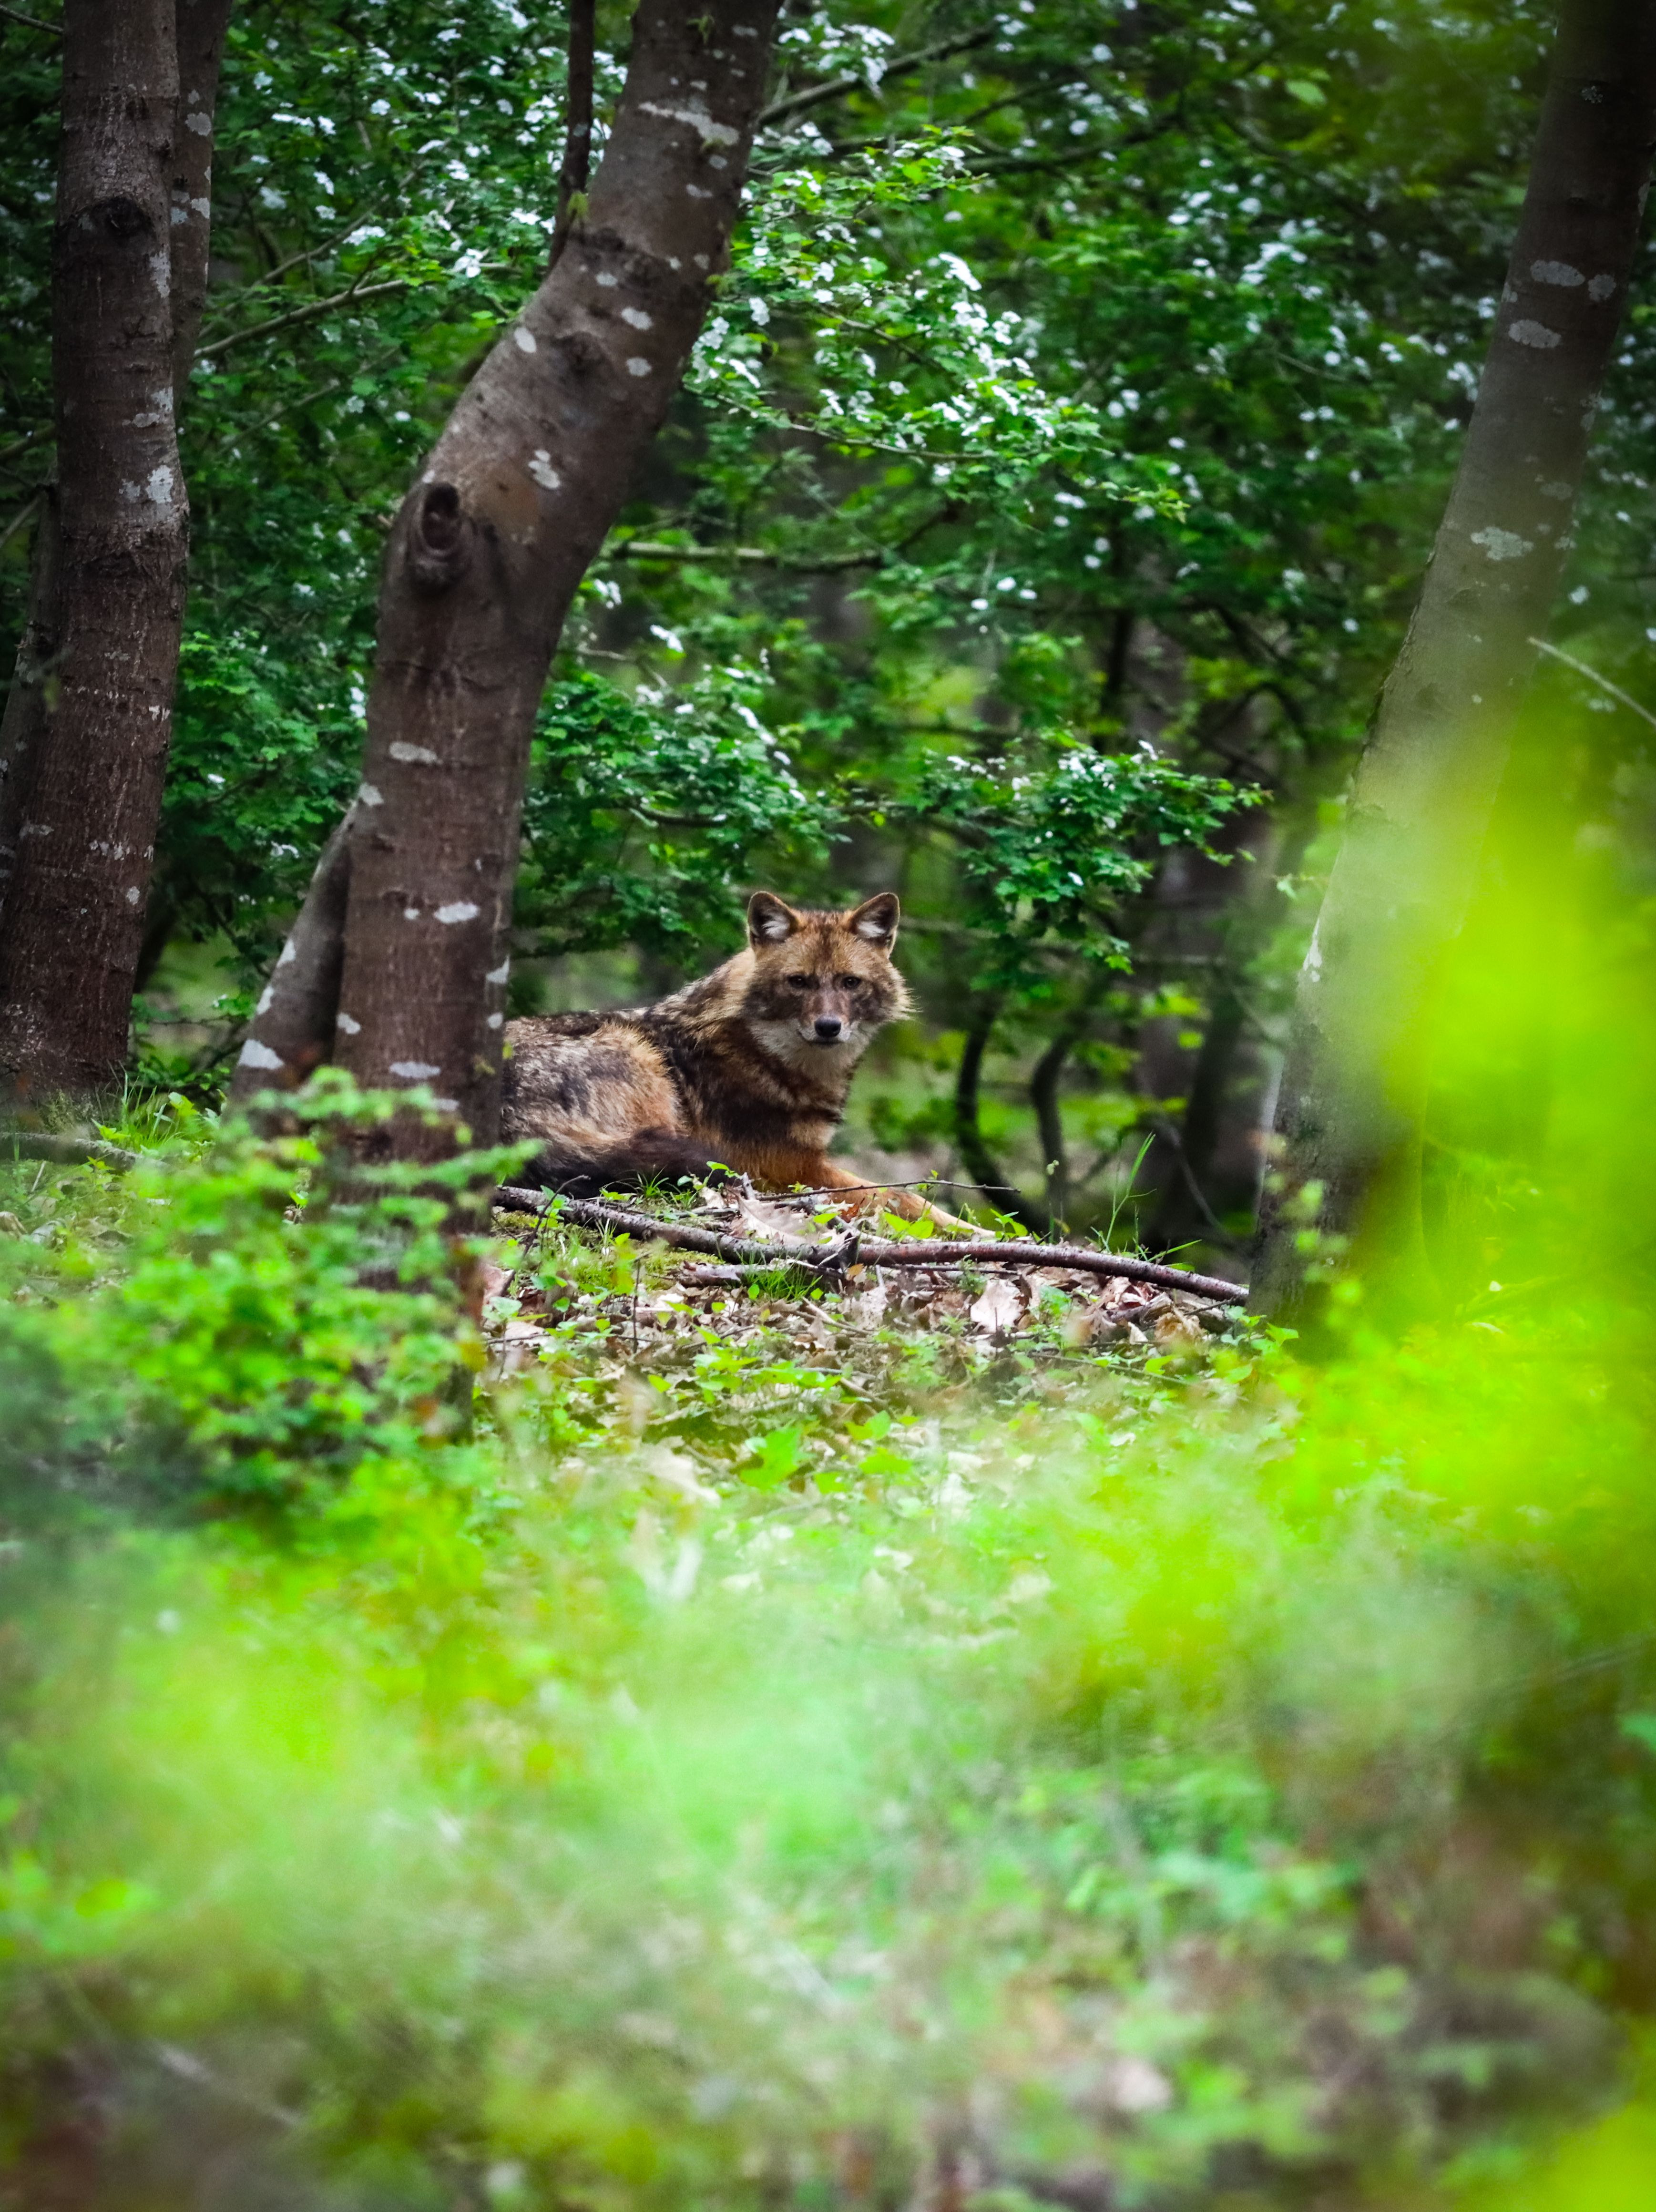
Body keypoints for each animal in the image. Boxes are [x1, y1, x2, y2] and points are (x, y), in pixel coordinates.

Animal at [501, 890, 944, 1218]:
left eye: (850, 982)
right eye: (799, 982)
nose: (828, 1027)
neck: (770, 1059)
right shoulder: (793, 1167)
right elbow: (906, 1198)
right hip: (641, 1058)